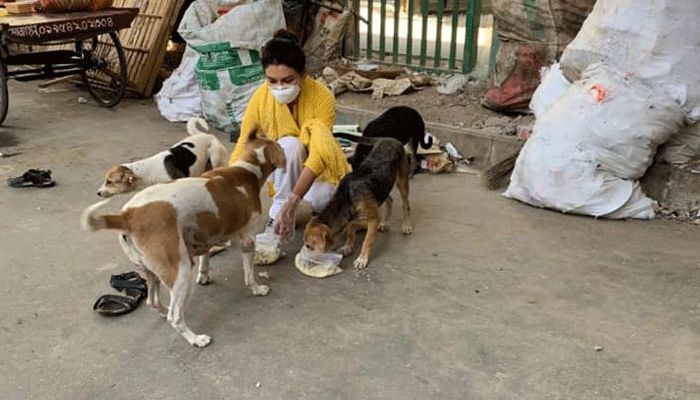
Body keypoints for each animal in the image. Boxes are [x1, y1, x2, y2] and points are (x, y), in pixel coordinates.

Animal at [81, 132, 288, 346]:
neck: (247, 169)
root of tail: (128, 215)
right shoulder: (248, 239)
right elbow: (249, 274)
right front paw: (256, 288)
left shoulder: (205, 234)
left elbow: (205, 258)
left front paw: (204, 276)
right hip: (179, 271)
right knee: (175, 317)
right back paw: (196, 339)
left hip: (151, 272)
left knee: (153, 302)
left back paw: (163, 310)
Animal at [304, 136, 412, 270]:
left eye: (309, 246)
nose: (306, 263)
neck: (346, 197)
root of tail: (389, 139)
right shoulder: (351, 217)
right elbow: (351, 233)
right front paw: (348, 247)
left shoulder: (374, 218)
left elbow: (367, 241)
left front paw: (362, 259)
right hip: (381, 188)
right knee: (390, 201)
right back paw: (385, 223)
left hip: (402, 182)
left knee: (406, 204)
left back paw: (406, 225)